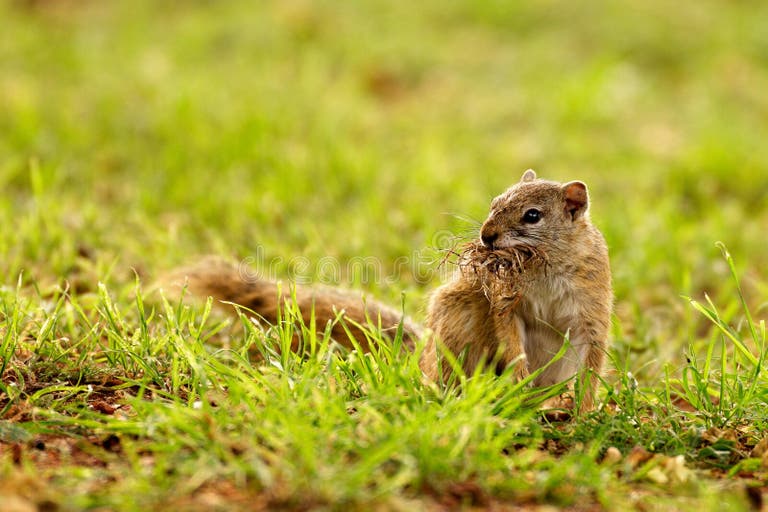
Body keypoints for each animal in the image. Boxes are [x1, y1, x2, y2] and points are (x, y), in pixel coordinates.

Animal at [170, 170, 612, 411]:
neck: (544, 266)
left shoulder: (591, 309)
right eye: (493, 202)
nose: (486, 237)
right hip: (458, 318)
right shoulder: (508, 304)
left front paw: (585, 412)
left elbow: (591, 361)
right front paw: (519, 378)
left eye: (532, 215)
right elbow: (512, 339)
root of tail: (423, 361)